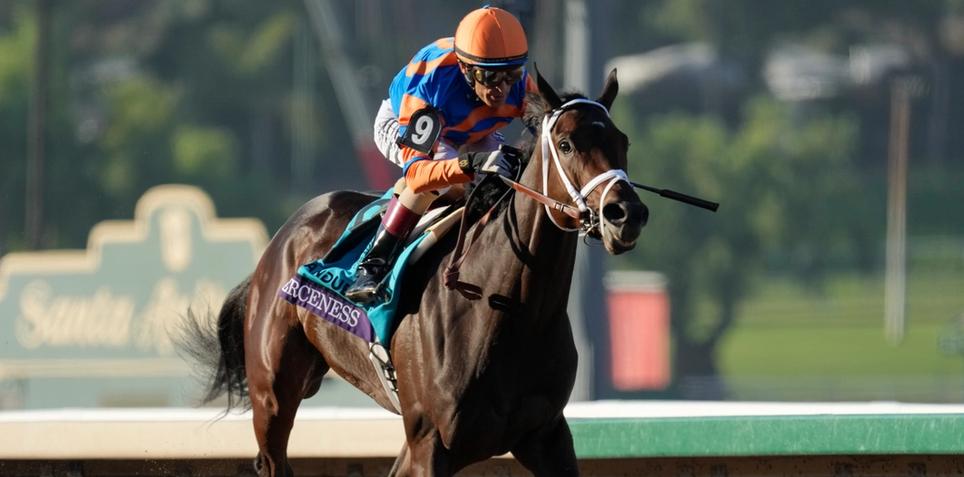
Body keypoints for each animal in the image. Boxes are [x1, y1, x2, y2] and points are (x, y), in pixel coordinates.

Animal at [177, 69, 647, 476]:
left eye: (622, 140)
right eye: (566, 144)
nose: (626, 214)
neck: (509, 308)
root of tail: (284, 235)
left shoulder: (546, 438)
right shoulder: (429, 442)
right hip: (272, 393)